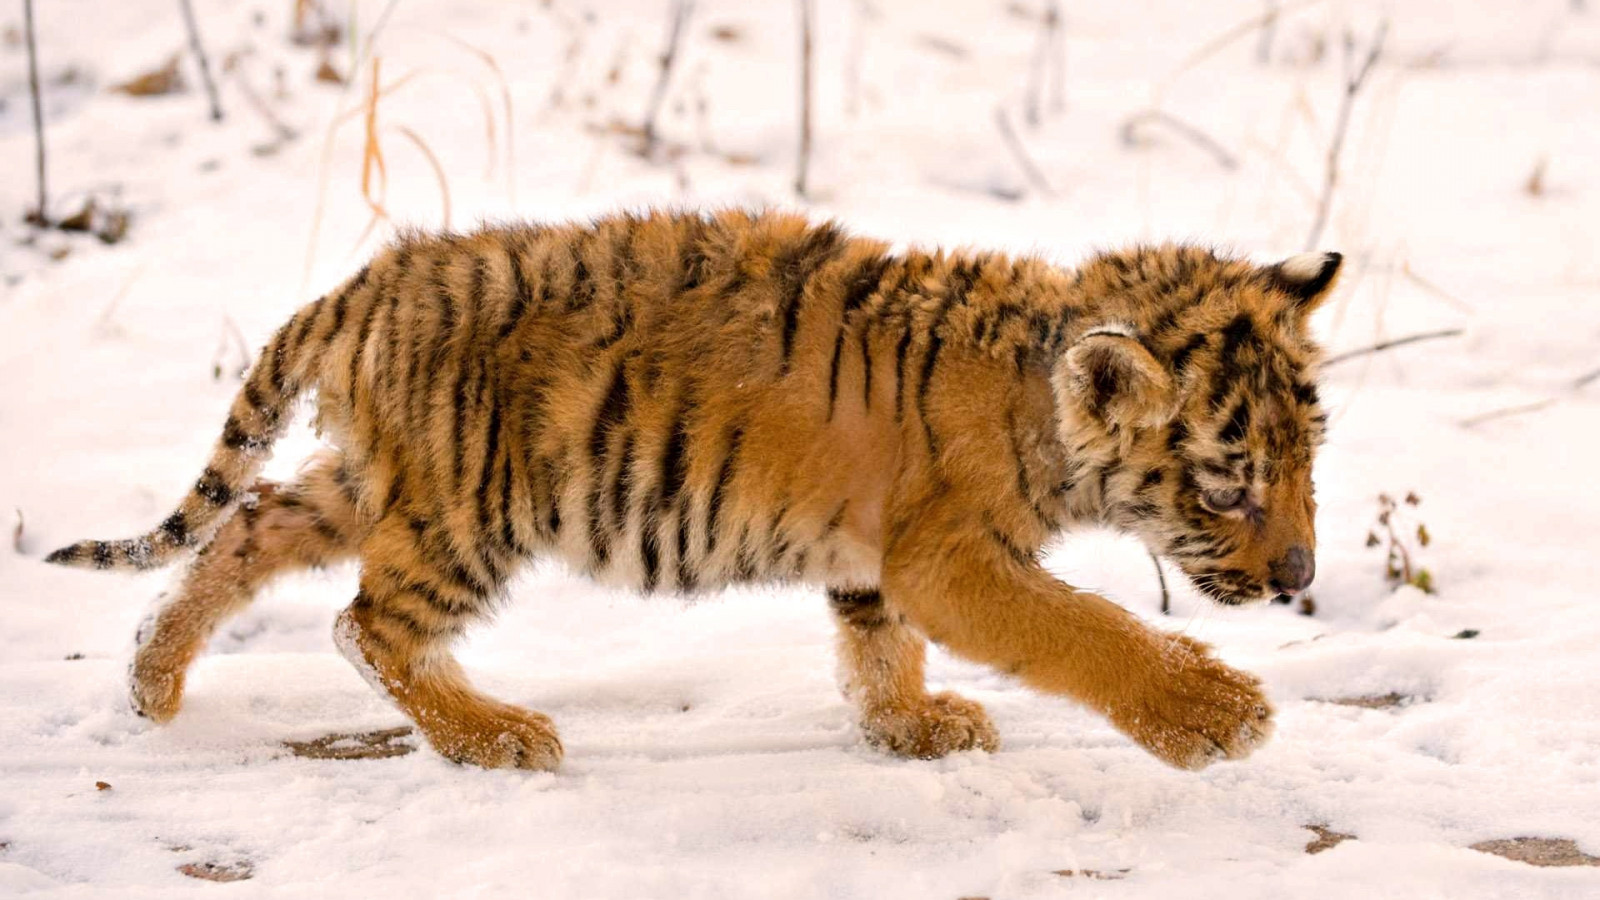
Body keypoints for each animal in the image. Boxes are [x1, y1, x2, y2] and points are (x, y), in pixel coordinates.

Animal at [45, 208, 1339, 772]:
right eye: (1230, 485)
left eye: (1308, 459)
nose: (1300, 575)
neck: (1039, 386)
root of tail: (367, 284)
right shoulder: (953, 559)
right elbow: (1086, 629)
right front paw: (1215, 716)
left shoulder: (879, 564)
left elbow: (878, 649)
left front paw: (910, 727)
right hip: (468, 509)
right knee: (367, 625)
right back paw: (494, 735)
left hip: (373, 481)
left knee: (247, 528)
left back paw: (152, 682)